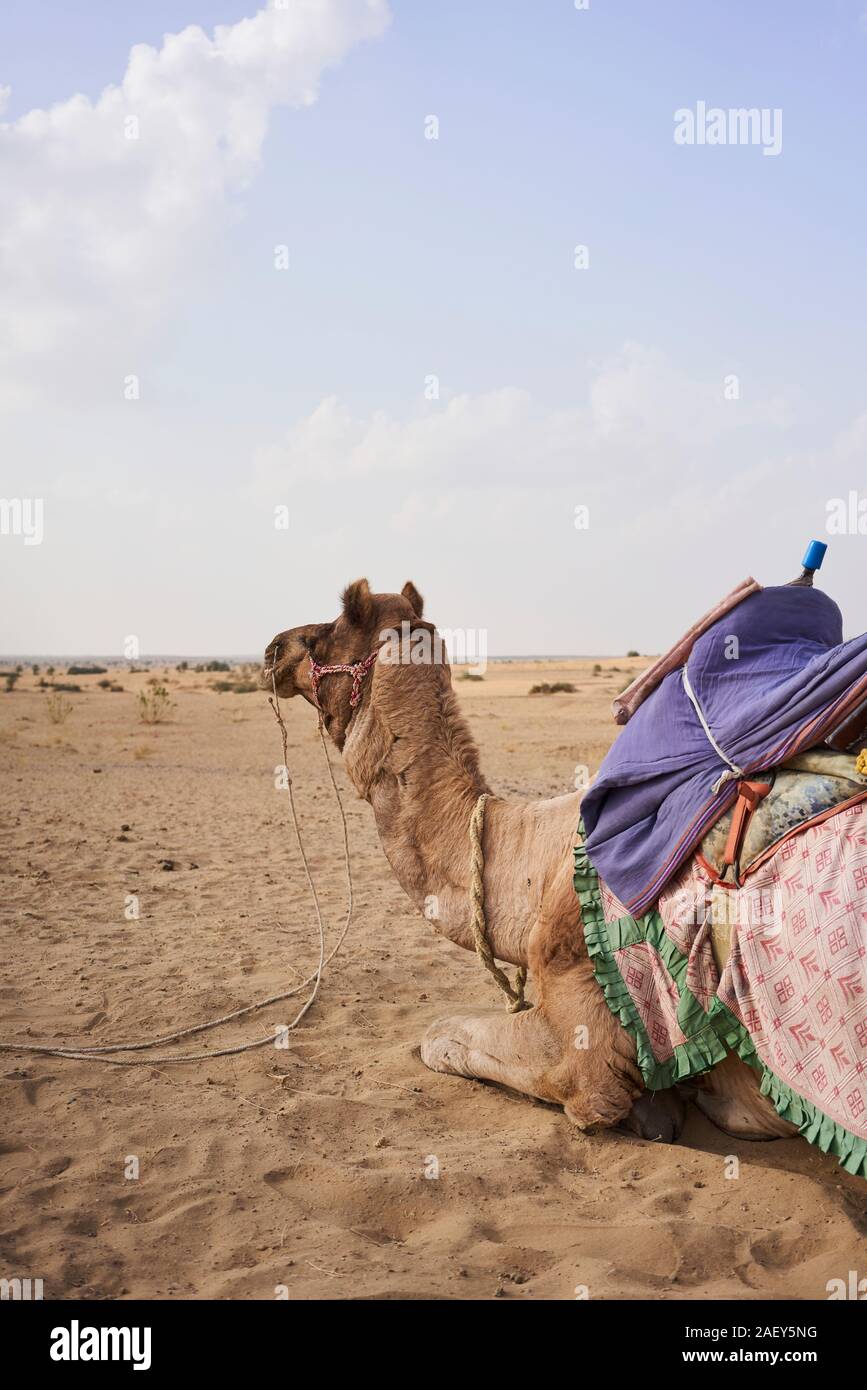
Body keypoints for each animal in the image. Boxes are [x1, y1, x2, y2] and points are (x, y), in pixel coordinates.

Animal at [263, 579, 792, 1146]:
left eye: (325, 630)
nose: (272, 648)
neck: (536, 860)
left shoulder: (583, 1019)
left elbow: (443, 1038)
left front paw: (654, 1112)